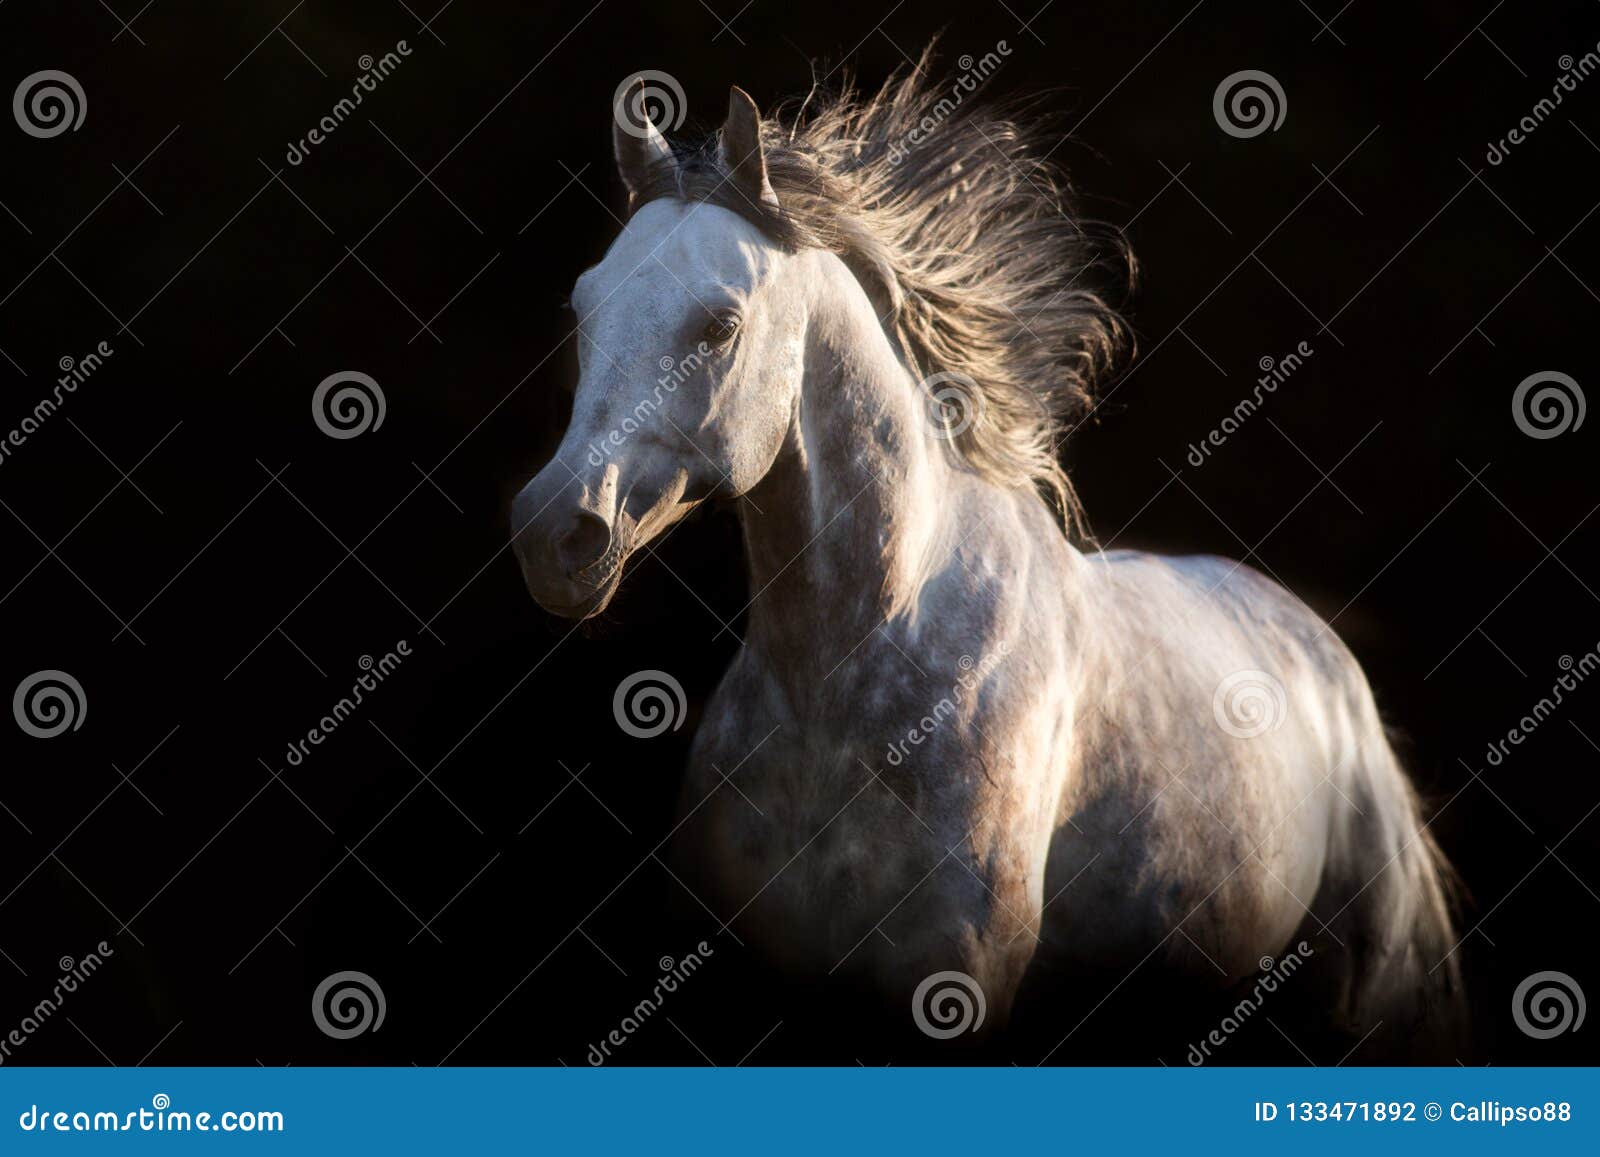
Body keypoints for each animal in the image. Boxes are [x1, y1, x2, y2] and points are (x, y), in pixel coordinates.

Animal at [509, 62, 1462, 1059]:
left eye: (720, 323)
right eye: (584, 305)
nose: (553, 533)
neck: (845, 692)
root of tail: (1332, 672)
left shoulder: (953, 981)